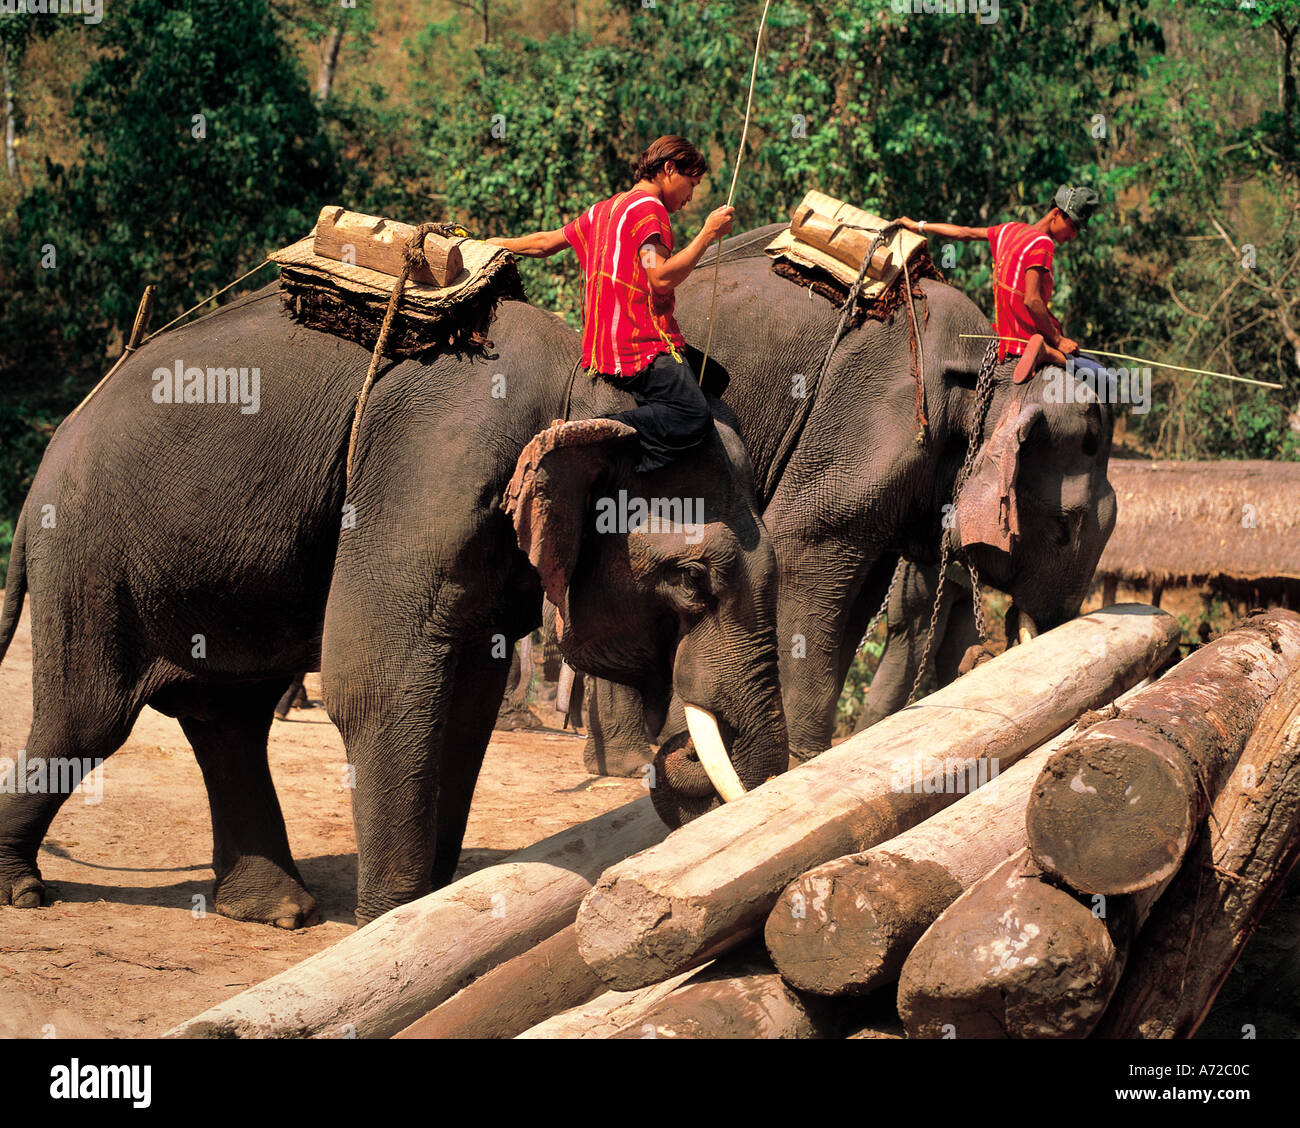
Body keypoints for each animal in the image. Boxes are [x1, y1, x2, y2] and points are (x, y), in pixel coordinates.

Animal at [0, 280, 788, 927]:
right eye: (690, 577)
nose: (680, 748)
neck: (580, 381)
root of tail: (54, 448)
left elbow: (468, 698)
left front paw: (426, 912)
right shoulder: (428, 472)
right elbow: (382, 685)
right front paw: (388, 923)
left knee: (228, 718)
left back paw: (277, 911)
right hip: (87, 556)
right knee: (88, 719)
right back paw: (24, 890)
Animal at [582, 222, 1117, 770]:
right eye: (1064, 527)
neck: (992, 372)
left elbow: (859, 594)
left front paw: (804, 755)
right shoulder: (871, 427)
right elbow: (800, 552)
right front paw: (797, 760)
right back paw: (628, 764)